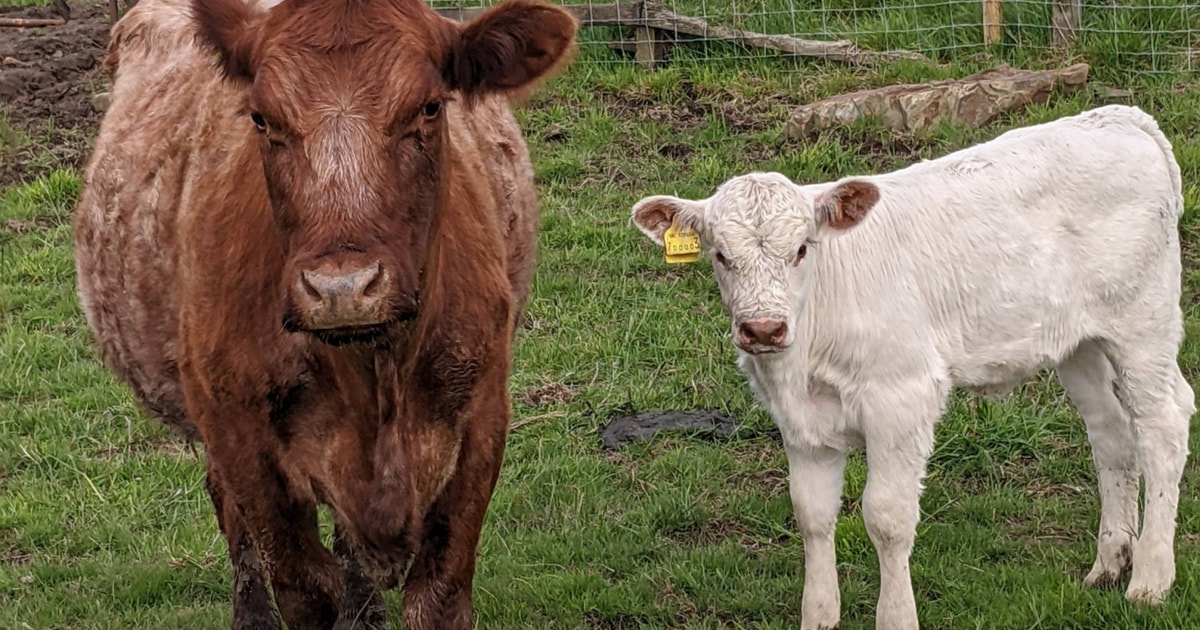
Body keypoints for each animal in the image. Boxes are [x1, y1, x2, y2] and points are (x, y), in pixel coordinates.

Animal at [72, 0, 576, 627]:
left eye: (430, 107)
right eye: (261, 119)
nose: (343, 287)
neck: (375, 372)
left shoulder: (482, 423)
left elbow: (437, 594)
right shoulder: (243, 440)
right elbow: (303, 586)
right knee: (231, 514)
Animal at [630, 105, 1194, 630]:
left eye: (802, 249)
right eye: (721, 255)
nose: (764, 329)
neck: (805, 358)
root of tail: (1118, 116)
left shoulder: (900, 399)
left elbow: (887, 518)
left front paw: (897, 616)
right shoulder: (799, 421)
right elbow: (812, 515)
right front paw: (819, 615)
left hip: (1144, 323)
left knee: (1162, 426)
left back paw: (1149, 580)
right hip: (1078, 342)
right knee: (1111, 433)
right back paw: (1109, 563)